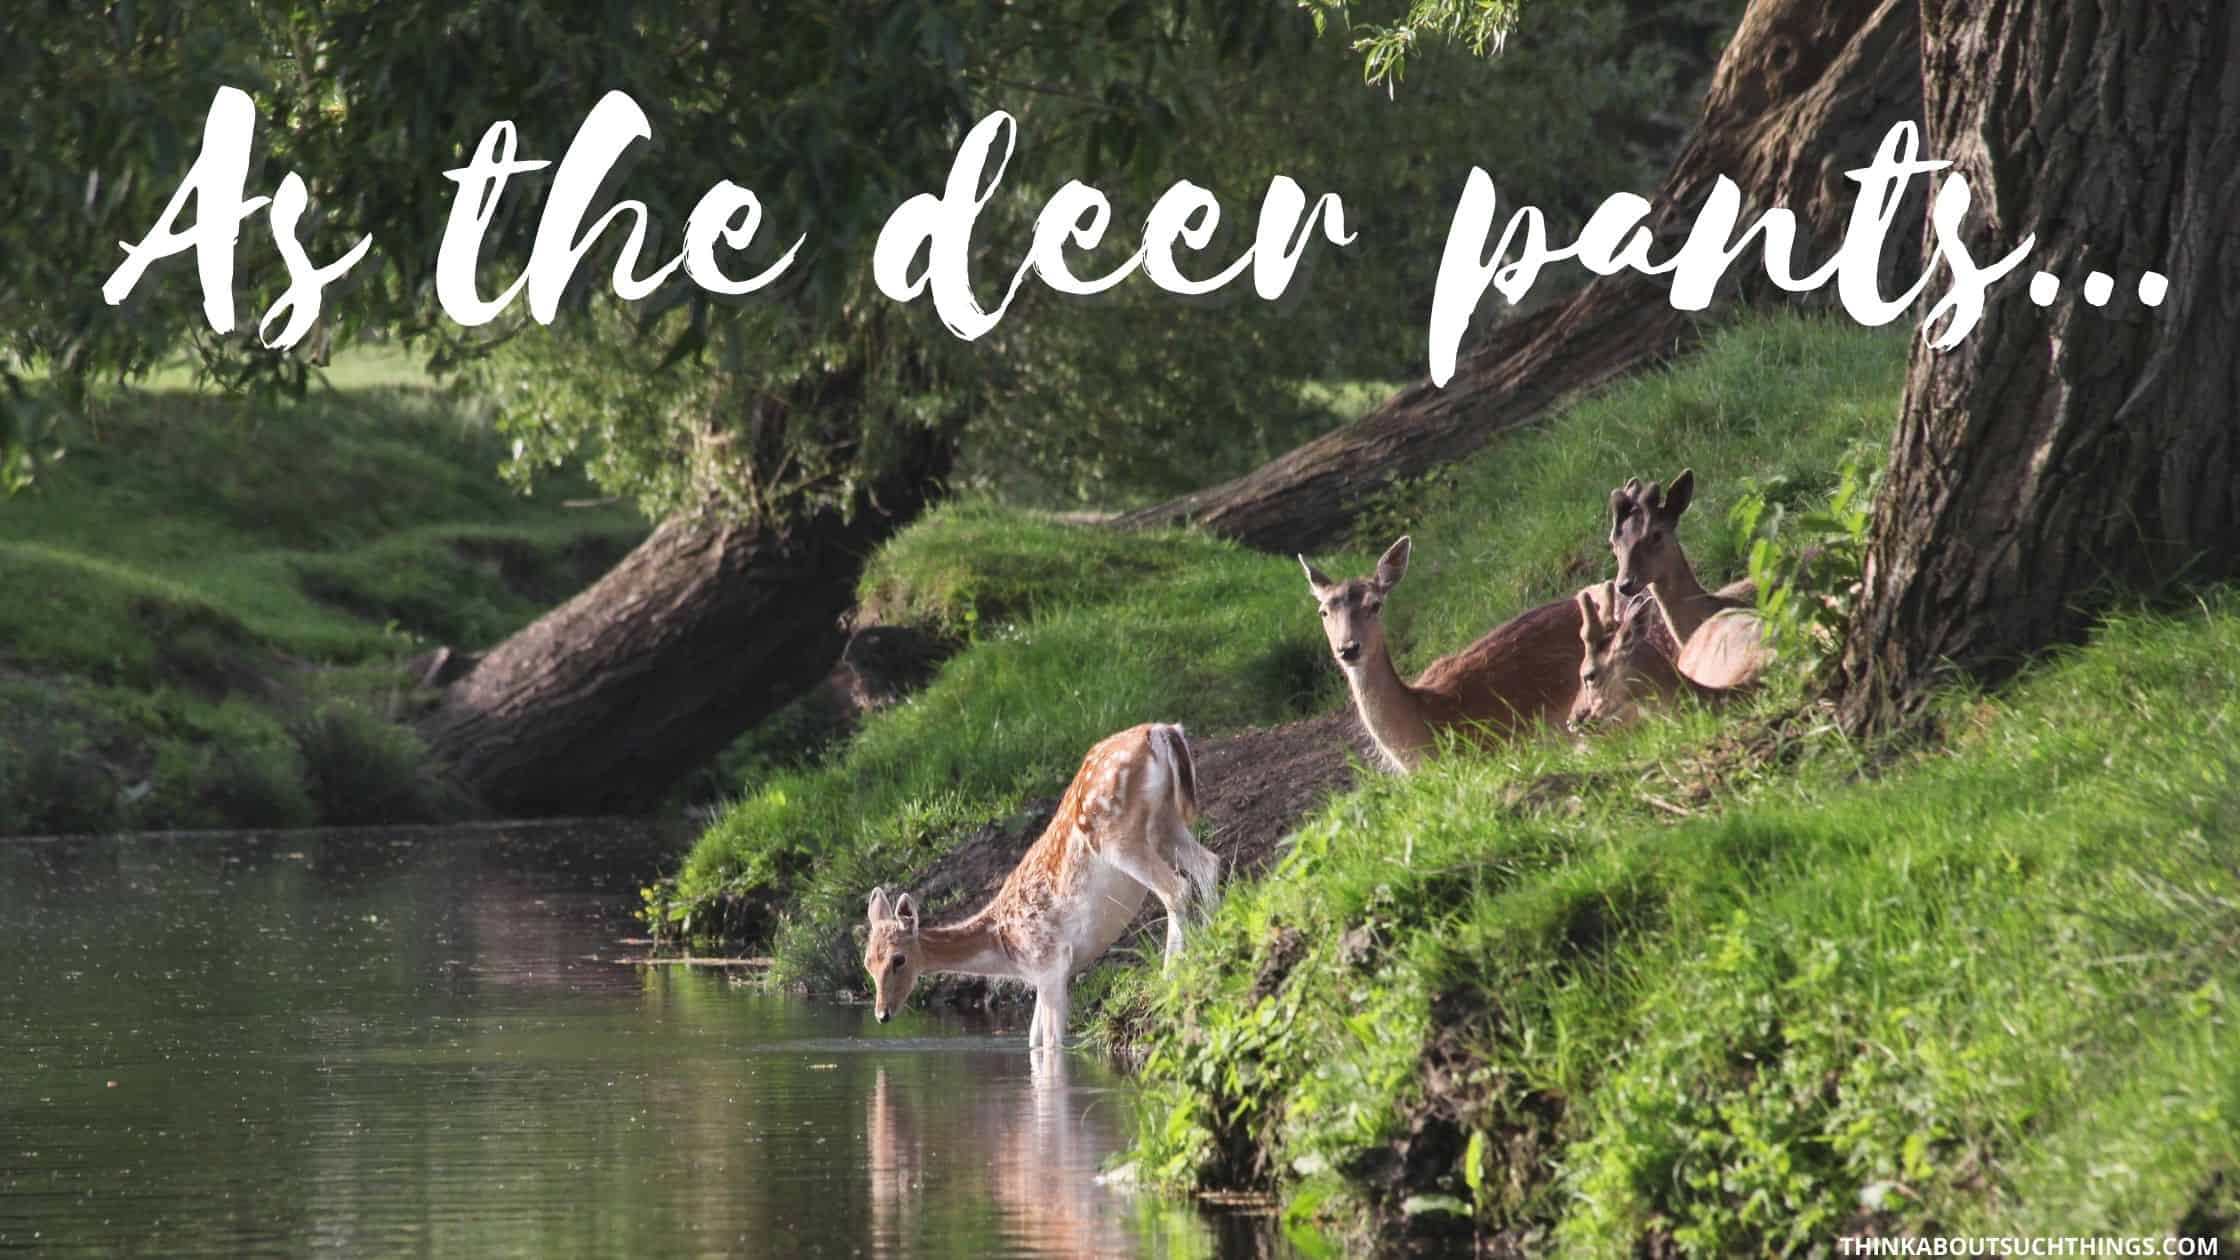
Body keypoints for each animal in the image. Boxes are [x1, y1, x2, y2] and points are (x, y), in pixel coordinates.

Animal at [862, 722, 1217, 1051]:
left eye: (898, 959)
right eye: (868, 962)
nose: (881, 1014)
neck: (1003, 947)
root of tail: (1159, 730)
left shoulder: (1048, 963)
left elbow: (1050, 1042)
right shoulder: (1043, 976)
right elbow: (1032, 1040)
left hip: (1120, 834)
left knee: (1176, 888)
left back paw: (1170, 973)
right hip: (1166, 824)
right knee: (1208, 864)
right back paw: (1211, 937)